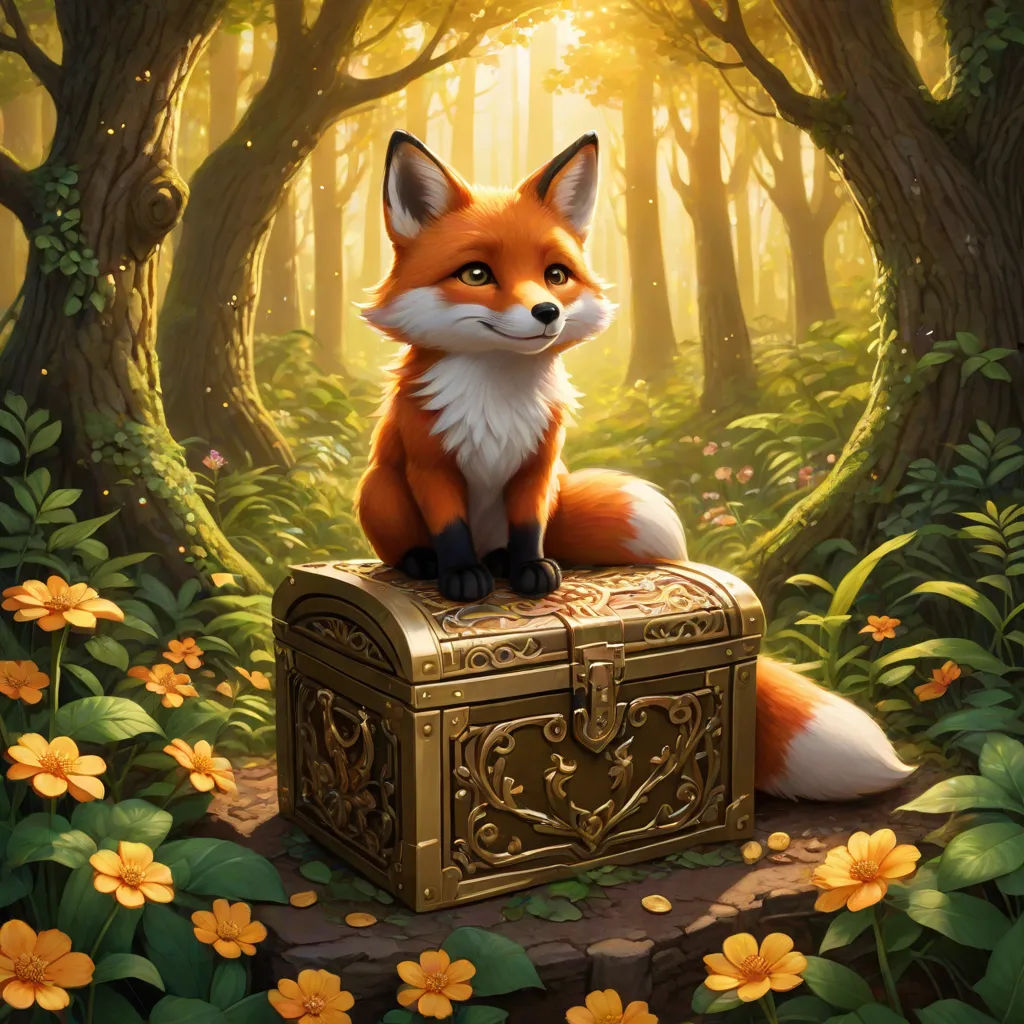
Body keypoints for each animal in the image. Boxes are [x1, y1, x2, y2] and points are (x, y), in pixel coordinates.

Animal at [356, 129, 914, 801]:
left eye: (555, 275)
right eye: (476, 273)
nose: (547, 312)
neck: (497, 395)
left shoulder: (539, 466)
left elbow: (529, 528)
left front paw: (530, 570)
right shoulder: (432, 463)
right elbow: (450, 527)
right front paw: (461, 576)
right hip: (380, 490)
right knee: (408, 540)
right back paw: (425, 563)